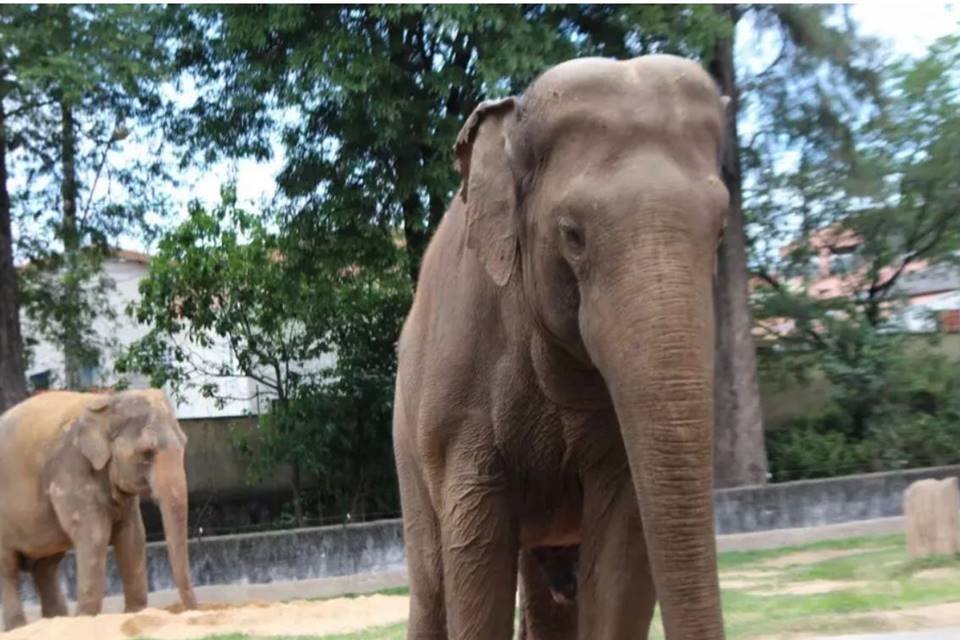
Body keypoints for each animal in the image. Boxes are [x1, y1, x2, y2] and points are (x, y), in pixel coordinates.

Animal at [0, 389, 198, 630]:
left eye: (184, 443)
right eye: (146, 452)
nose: (192, 611)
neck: (107, 403)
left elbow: (133, 536)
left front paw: (135, 613)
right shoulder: (71, 468)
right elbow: (95, 536)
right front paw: (85, 618)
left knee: (46, 567)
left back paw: (55, 620)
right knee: (8, 568)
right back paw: (19, 627)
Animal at [392, 53, 729, 639]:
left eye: (720, 231)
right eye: (572, 234)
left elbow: (623, 552)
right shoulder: (458, 399)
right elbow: (476, 554)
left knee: (554, 589)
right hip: (406, 440)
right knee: (431, 580)